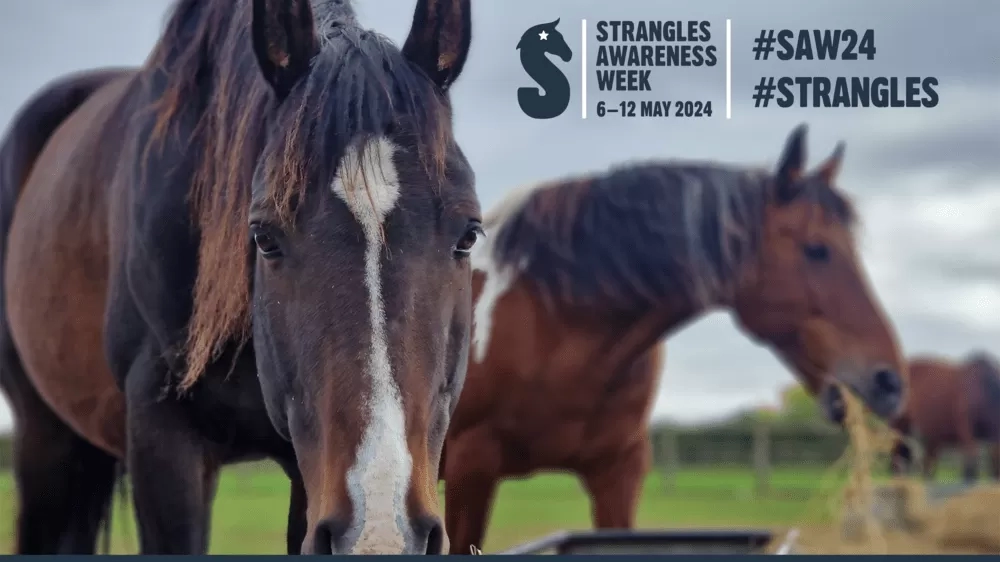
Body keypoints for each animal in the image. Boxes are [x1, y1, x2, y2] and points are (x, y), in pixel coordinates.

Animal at [0, 0, 478, 554]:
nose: (379, 535)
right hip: (44, 440)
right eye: (264, 238)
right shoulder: (163, 443)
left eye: (469, 235)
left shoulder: (308, 470)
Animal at [889, 352, 1000, 482]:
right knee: (897, 459)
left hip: (930, 436)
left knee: (926, 463)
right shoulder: (967, 432)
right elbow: (970, 467)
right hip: (900, 426)